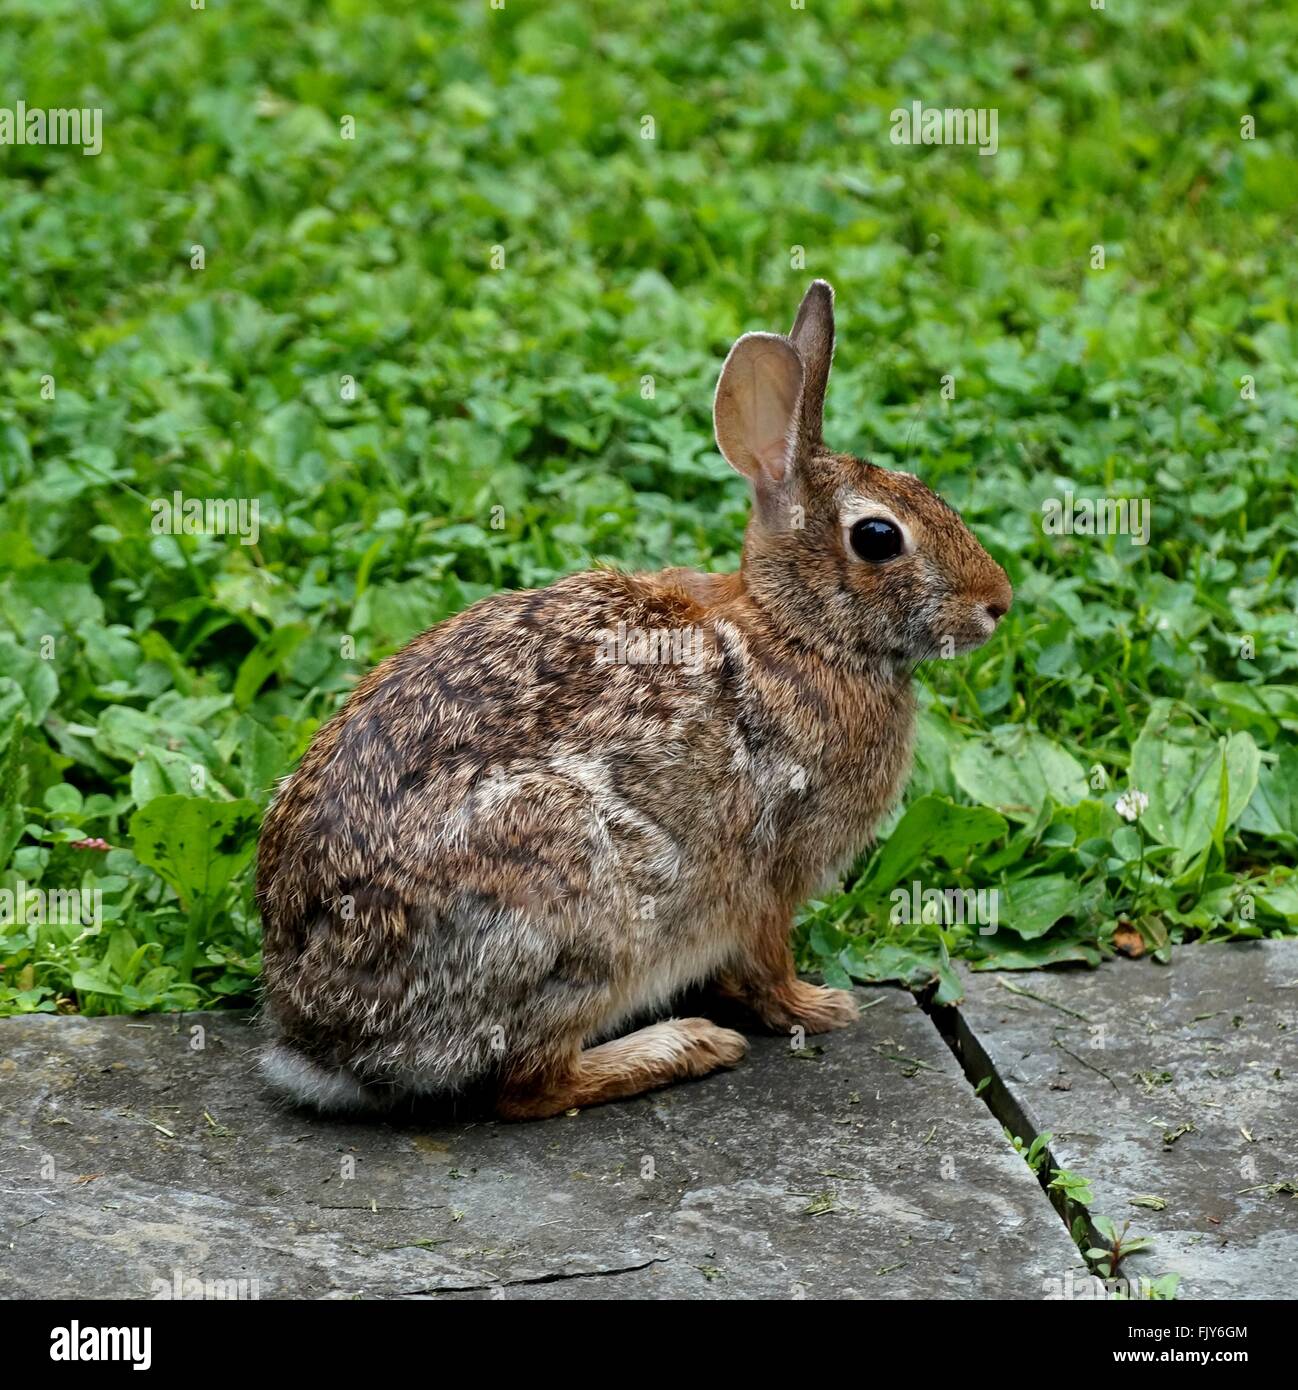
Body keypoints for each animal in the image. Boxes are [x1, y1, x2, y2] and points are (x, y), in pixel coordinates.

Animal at [255, 280, 1012, 1120]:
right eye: (879, 537)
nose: (998, 604)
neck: (797, 629)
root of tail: (321, 1037)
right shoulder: (770, 871)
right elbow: (766, 961)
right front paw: (819, 1008)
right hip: (582, 909)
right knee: (530, 1084)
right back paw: (687, 1046)